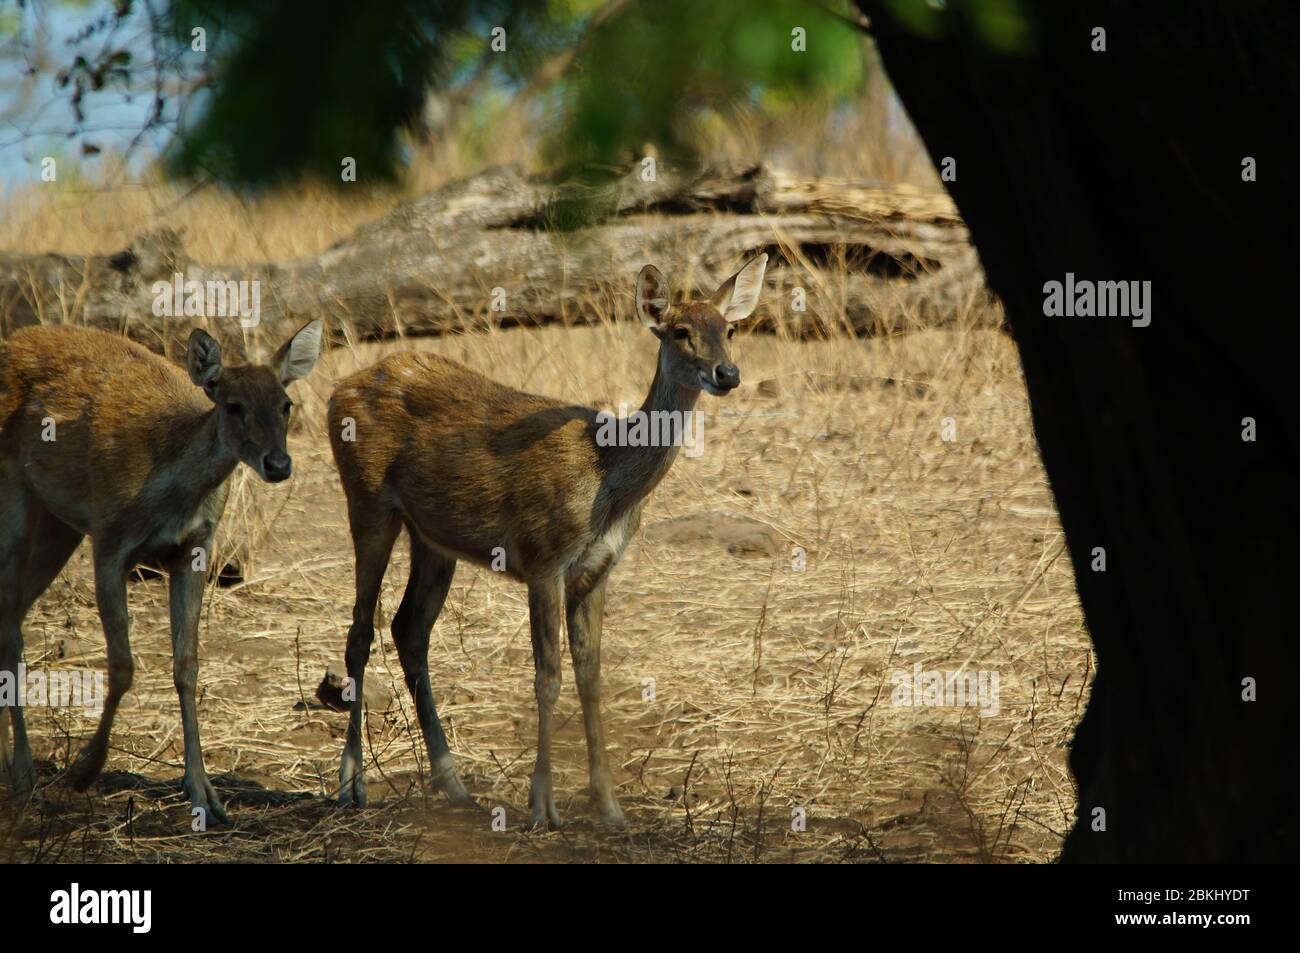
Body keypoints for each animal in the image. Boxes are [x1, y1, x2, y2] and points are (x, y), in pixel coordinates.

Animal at [0, 320, 323, 823]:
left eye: (285, 403)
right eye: (233, 404)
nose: (278, 464)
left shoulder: (194, 548)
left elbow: (186, 664)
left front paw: (205, 794)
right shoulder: (109, 542)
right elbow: (123, 665)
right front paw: (83, 771)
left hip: (58, 525)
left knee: (10, 615)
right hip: (14, 492)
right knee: (11, 625)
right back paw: (23, 775)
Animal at [327, 254, 767, 829]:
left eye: (730, 329)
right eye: (680, 331)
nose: (727, 374)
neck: (606, 479)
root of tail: (338, 389)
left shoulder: (596, 571)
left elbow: (592, 678)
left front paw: (610, 808)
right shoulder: (542, 558)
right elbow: (548, 677)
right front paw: (543, 806)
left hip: (434, 539)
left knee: (408, 627)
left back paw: (454, 787)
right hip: (367, 501)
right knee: (361, 629)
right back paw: (350, 783)